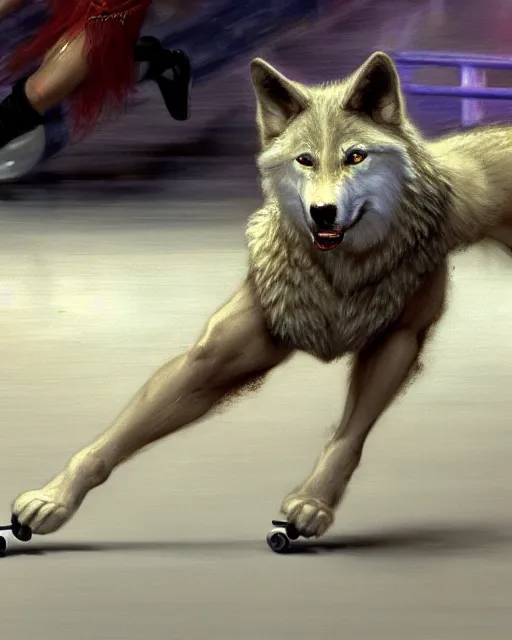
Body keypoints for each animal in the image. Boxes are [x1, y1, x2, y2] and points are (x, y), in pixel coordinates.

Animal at [11, 51, 512, 539]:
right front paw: (53, 499)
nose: (322, 212)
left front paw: (312, 505)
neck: (339, 273)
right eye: (305, 160)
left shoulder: (396, 342)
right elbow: (110, 441)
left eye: (355, 157)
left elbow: (347, 437)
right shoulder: (212, 360)